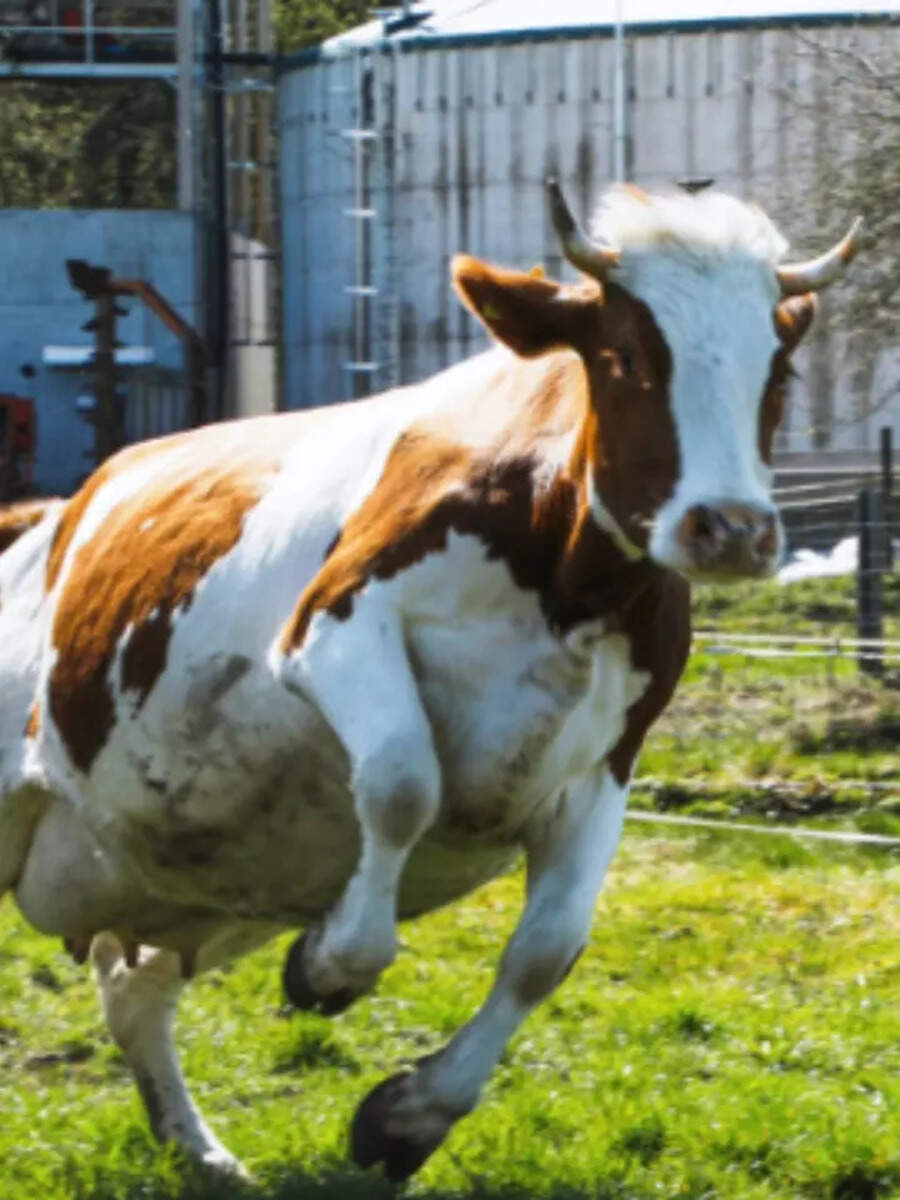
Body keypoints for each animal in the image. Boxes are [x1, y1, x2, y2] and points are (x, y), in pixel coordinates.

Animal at [0, 181, 860, 1182]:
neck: (563, 581)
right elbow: (405, 784)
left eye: (779, 372)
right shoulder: (334, 631)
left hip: (190, 884)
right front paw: (329, 962)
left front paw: (406, 1118)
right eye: (626, 356)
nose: (732, 529)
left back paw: (200, 1151)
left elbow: (545, 952)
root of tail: (46, 515)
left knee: (133, 990)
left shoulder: (607, 761)